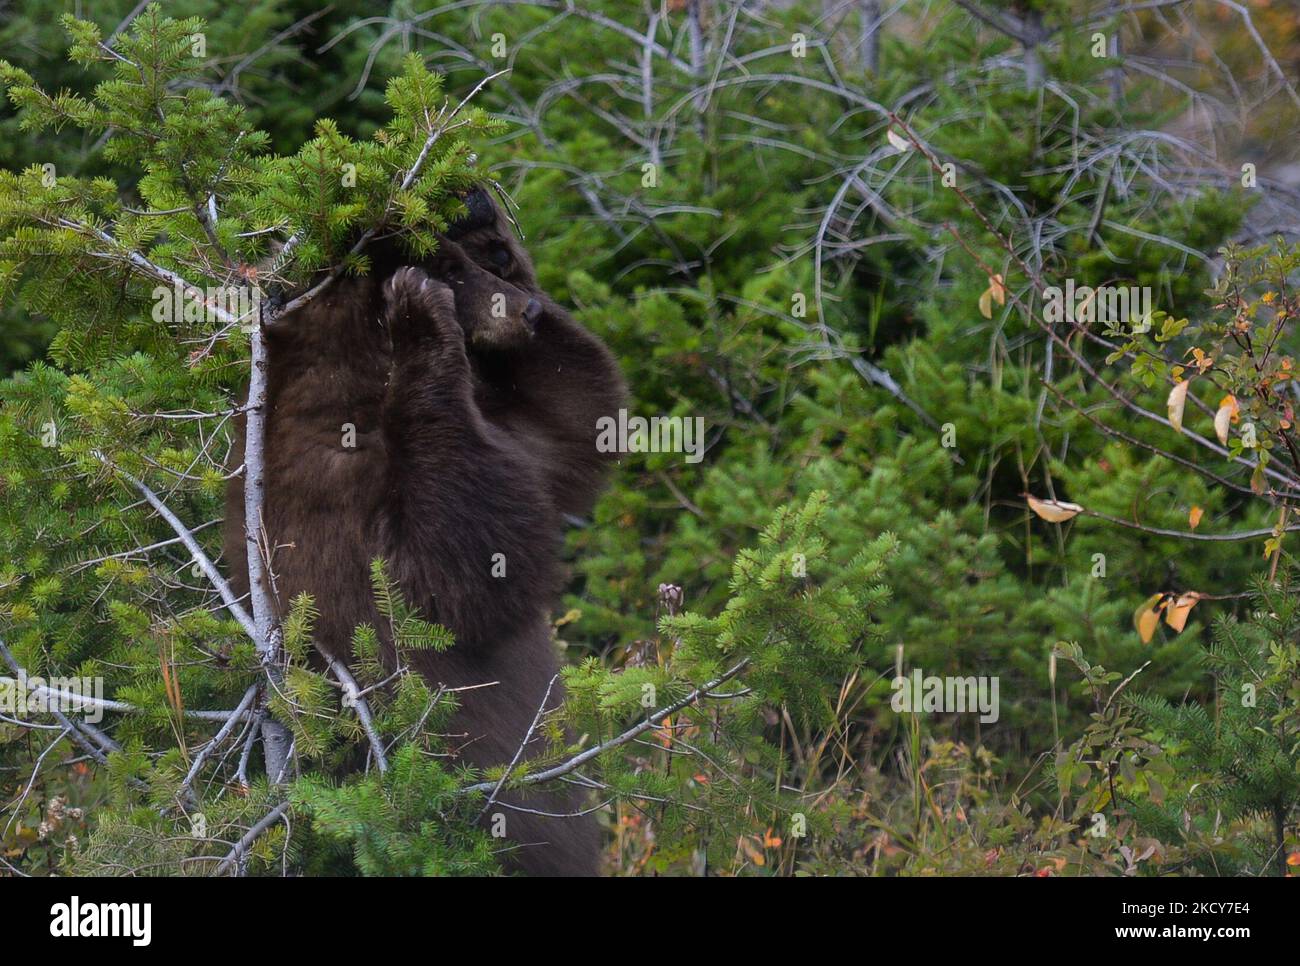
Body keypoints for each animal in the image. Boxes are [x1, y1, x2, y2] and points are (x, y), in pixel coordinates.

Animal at [223, 187, 627, 876]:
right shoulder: (326, 493)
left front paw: (473, 207)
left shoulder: (511, 433)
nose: (528, 310)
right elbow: (448, 575)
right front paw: (415, 311)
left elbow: (578, 419)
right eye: (452, 273)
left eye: (474, 262)